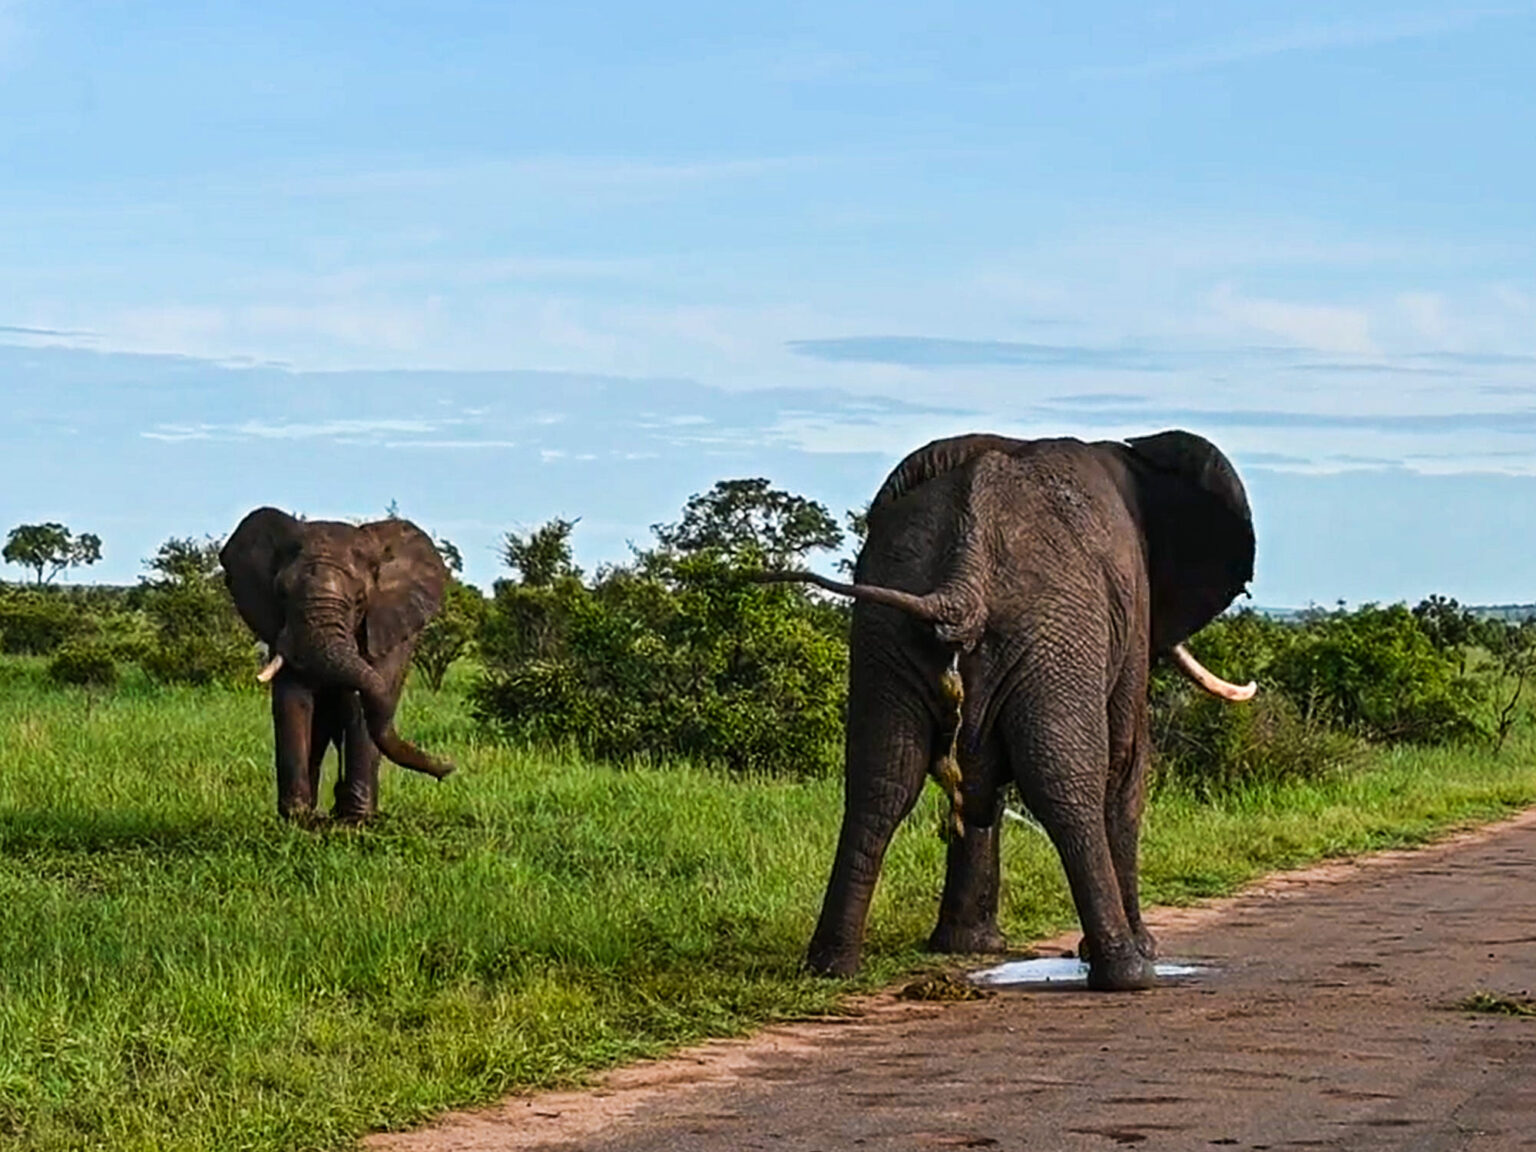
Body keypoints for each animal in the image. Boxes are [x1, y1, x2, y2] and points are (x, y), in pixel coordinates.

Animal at [220, 507, 455, 822]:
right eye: (281, 594)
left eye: (360, 600)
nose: (447, 769)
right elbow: (292, 699)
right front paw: (298, 818)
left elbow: (359, 707)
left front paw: (354, 821)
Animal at [758, 430, 1257, 991]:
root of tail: (964, 573)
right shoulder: (1134, 607)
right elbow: (1126, 762)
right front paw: (1143, 947)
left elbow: (976, 780)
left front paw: (968, 947)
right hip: (1053, 632)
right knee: (1067, 784)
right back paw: (1129, 972)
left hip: (886, 629)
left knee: (881, 782)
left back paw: (831, 966)